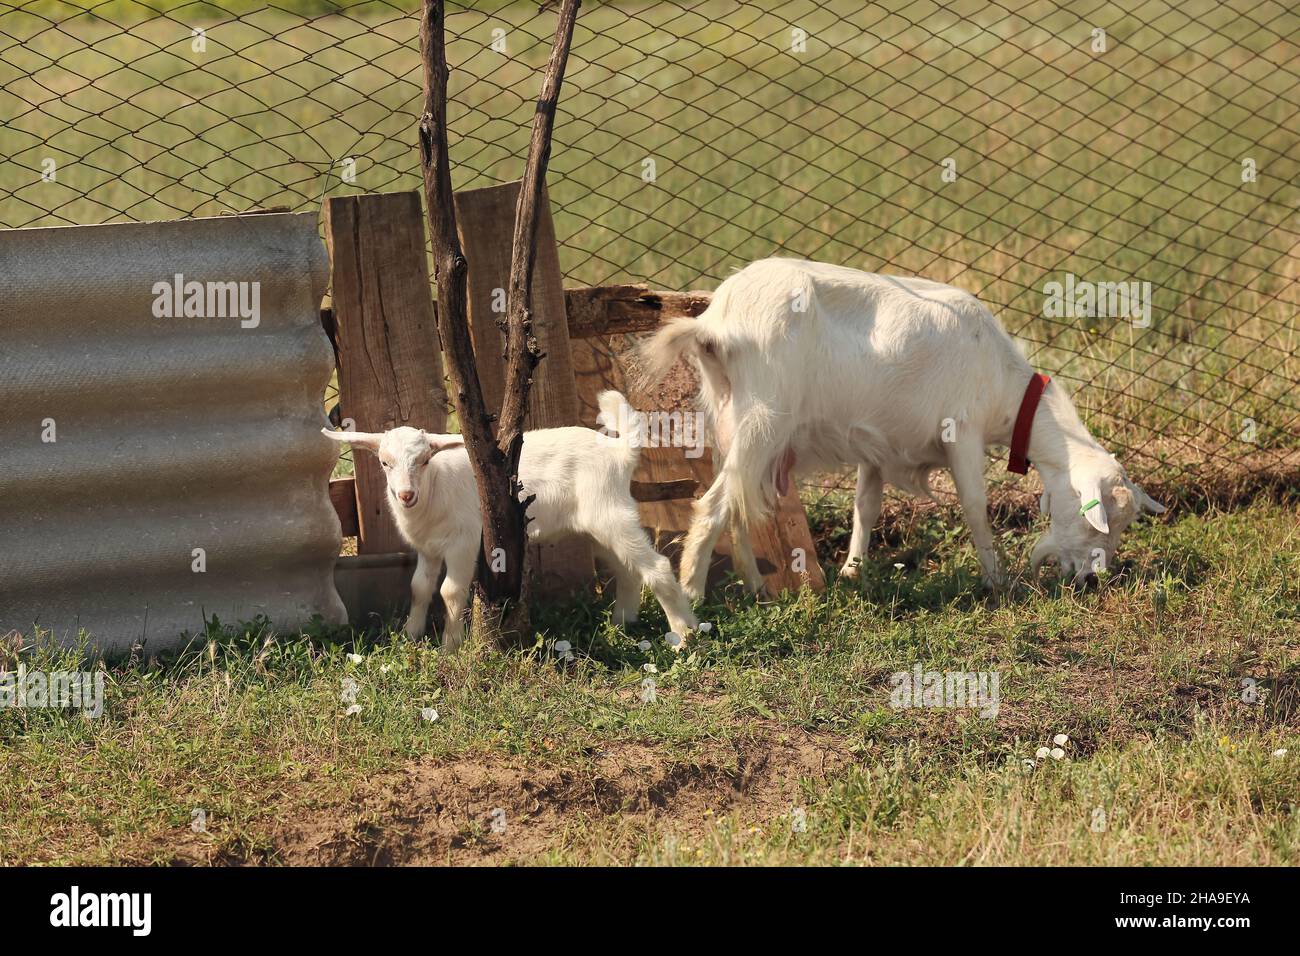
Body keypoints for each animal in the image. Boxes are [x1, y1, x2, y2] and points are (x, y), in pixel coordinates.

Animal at [323, 390, 698, 649]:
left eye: (426, 460)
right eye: (384, 462)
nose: (405, 495)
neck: (434, 489)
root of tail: (620, 453)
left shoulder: (464, 540)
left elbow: (451, 591)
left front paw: (450, 646)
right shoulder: (427, 548)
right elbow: (419, 588)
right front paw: (410, 634)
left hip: (611, 513)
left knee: (657, 566)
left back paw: (684, 634)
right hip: (598, 526)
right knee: (627, 568)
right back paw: (622, 623)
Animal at [641, 258, 1164, 603]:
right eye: (1100, 520)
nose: (1092, 580)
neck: (1004, 382)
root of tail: (716, 323)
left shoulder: (876, 447)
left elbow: (865, 507)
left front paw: (853, 571)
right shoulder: (963, 434)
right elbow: (975, 505)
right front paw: (997, 579)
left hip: (730, 417)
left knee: (736, 501)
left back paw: (754, 587)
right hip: (763, 417)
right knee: (712, 505)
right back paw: (692, 600)